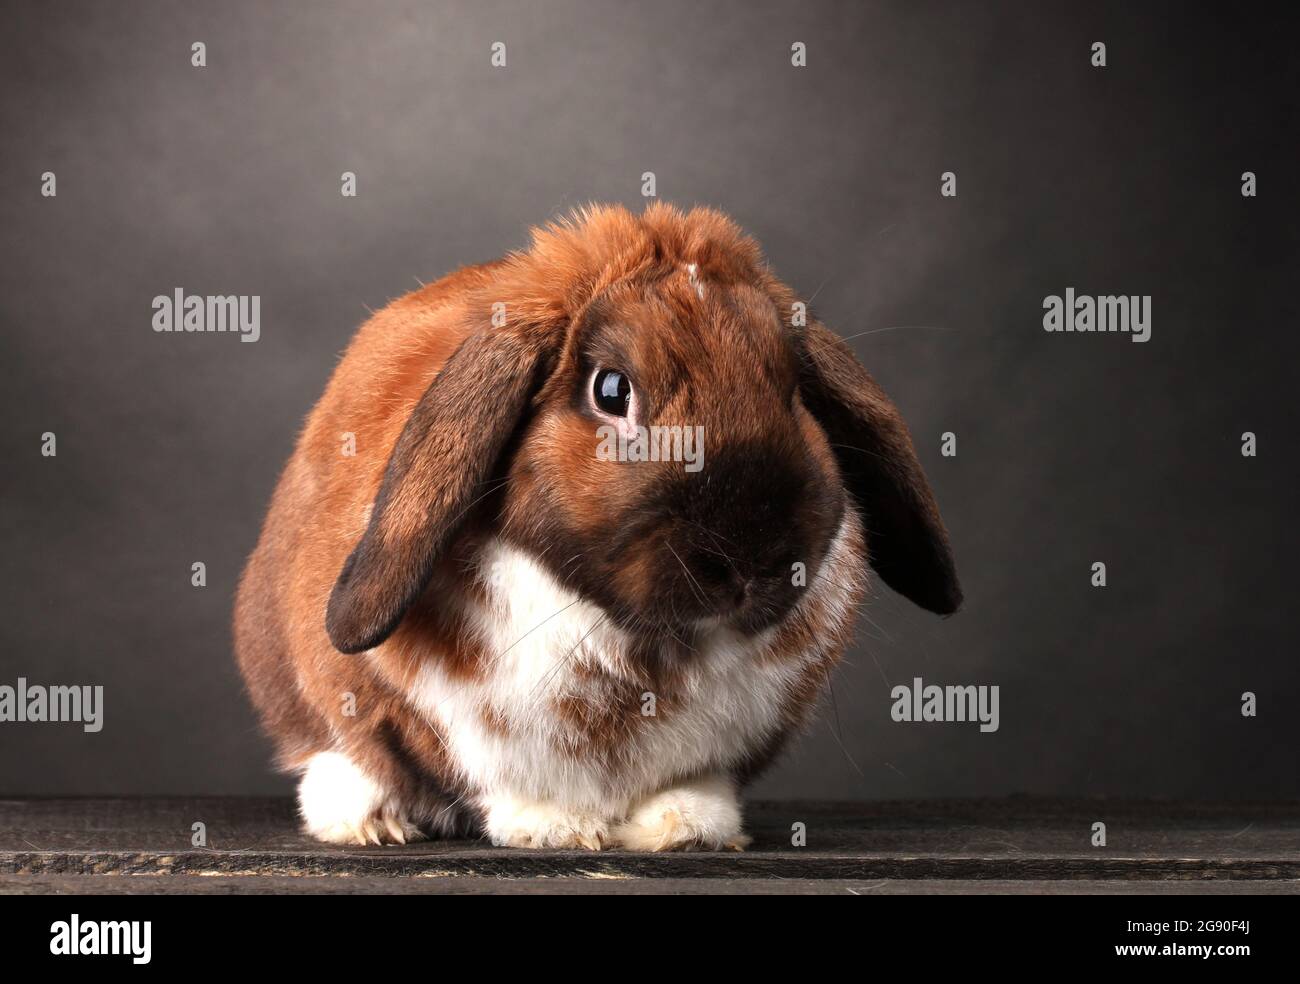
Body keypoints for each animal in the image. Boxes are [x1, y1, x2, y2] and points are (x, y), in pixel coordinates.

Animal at [234, 203, 960, 851]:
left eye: (792, 392)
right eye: (612, 391)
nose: (751, 565)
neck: (647, 650)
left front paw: (684, 827)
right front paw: (555, 828)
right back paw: (370, 821)